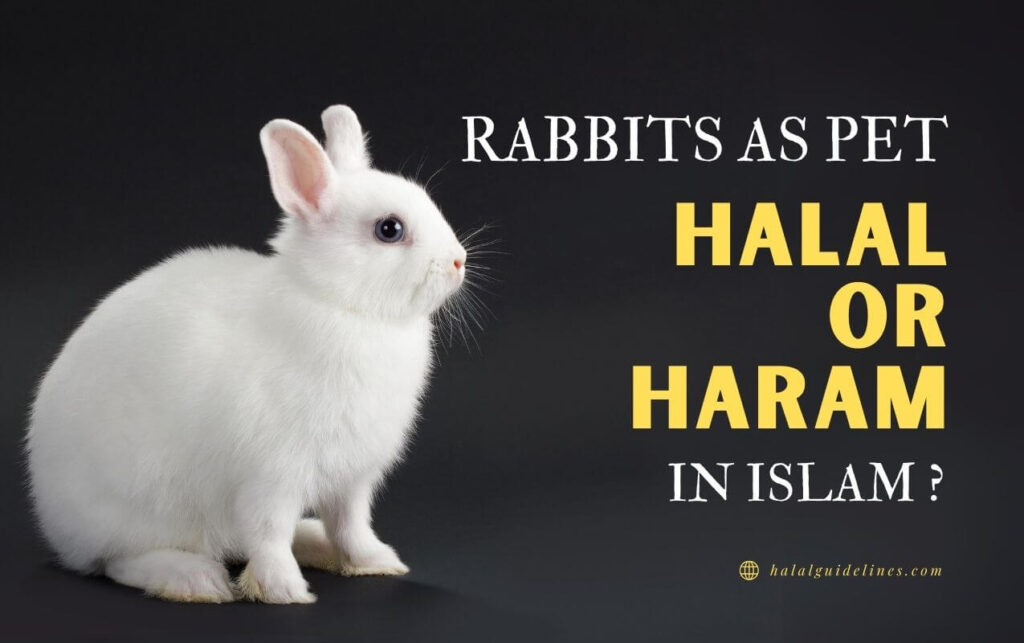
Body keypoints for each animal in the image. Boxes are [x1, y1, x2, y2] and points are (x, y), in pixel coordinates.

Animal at [25, 105, 468, 604]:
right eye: (389, 229)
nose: (459, 261)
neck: (337, 301)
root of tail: (57, 526)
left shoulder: (352, 478)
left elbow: (351, 525)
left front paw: (376, 562)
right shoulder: (271, 475)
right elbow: (269, 532)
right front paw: (285, 590)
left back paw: (311, 541)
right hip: (135, 513)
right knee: (118, 561)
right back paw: (194, 580)